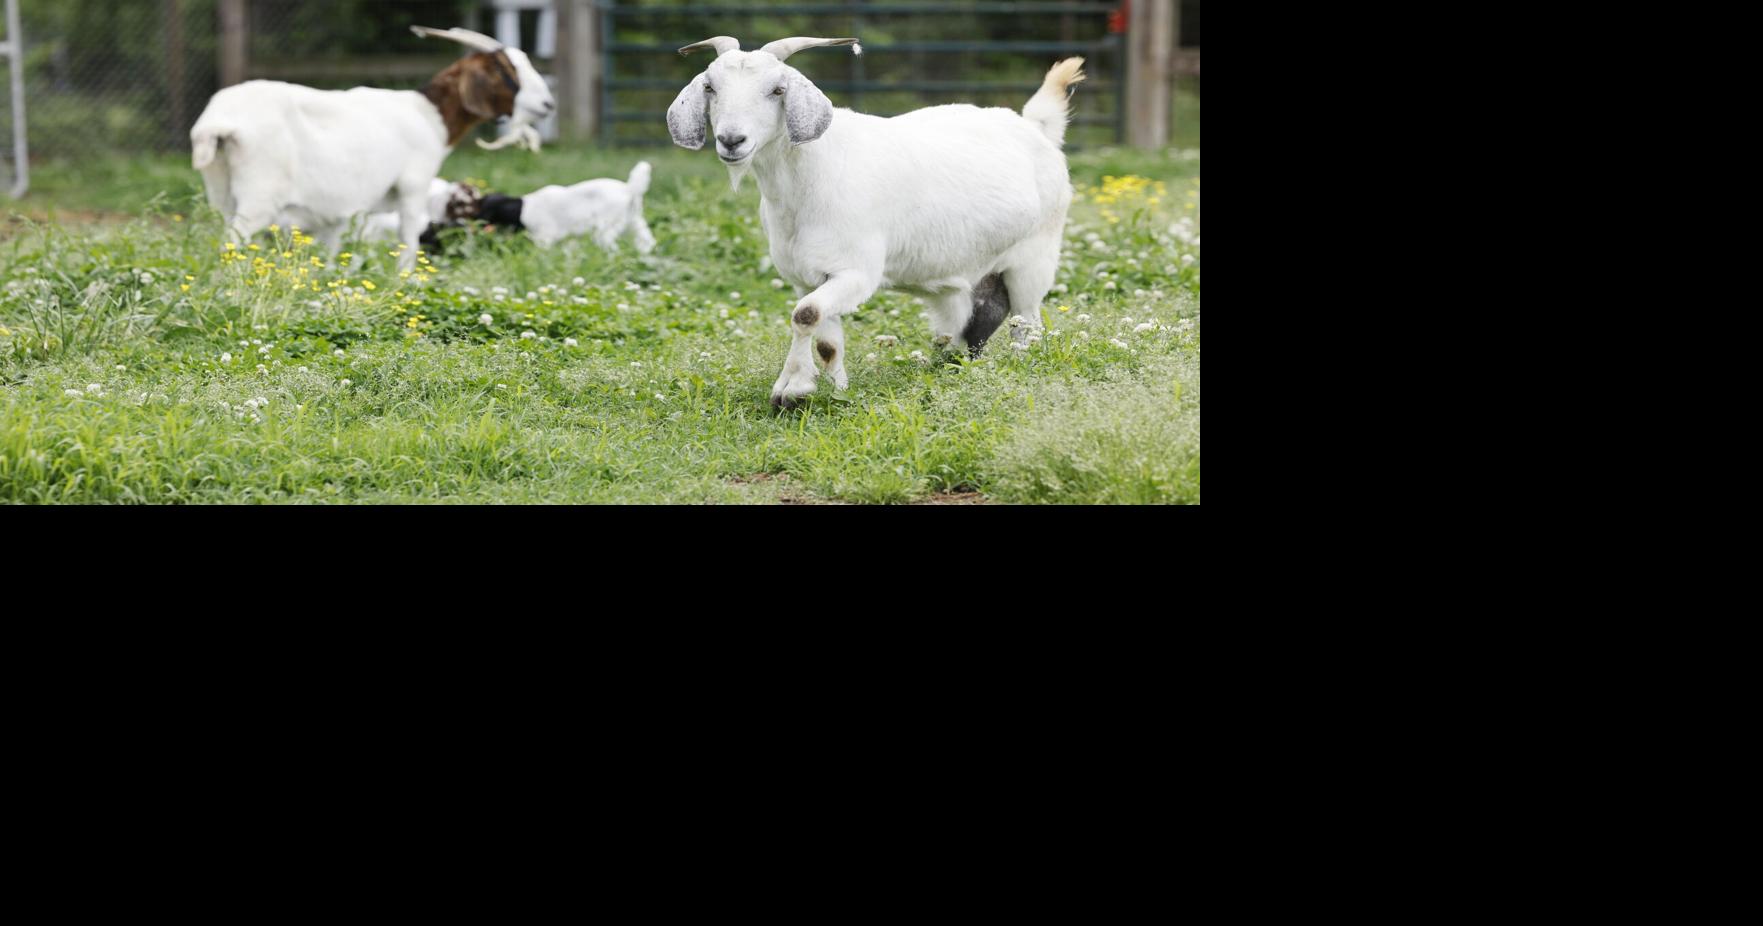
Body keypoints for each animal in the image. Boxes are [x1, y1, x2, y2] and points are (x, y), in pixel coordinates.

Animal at [189, 26, 554, 270]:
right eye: (506, 72)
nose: (548, 104)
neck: (427, 114)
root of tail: (217, 121)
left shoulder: (333, 213)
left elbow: (331, 252)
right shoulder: (413, 185)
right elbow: (408, 239)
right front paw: (405, 282)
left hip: (221, 191)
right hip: (259, 196)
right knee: (233, 240)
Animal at [473, 162, 655, 252]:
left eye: (483, 210)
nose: (474, 224)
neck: (522, 208)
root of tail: (630, 189)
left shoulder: (544, 238)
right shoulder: (568, 241)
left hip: (605, 230)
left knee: (612, 248)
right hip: (635, 223)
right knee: (647, 242)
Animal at [667, 36, 1083, 408]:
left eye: (777, 89)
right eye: (710, 86)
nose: (731, 140)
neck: (812, 175)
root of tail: (1035, 128)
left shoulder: (855, 271)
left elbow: (804, 315)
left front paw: (793, 389)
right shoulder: (810, 277)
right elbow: (826, 337)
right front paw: (834, 391)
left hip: (1033, 260)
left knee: (1026, 323)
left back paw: (1022, 365)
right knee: (971, 321)